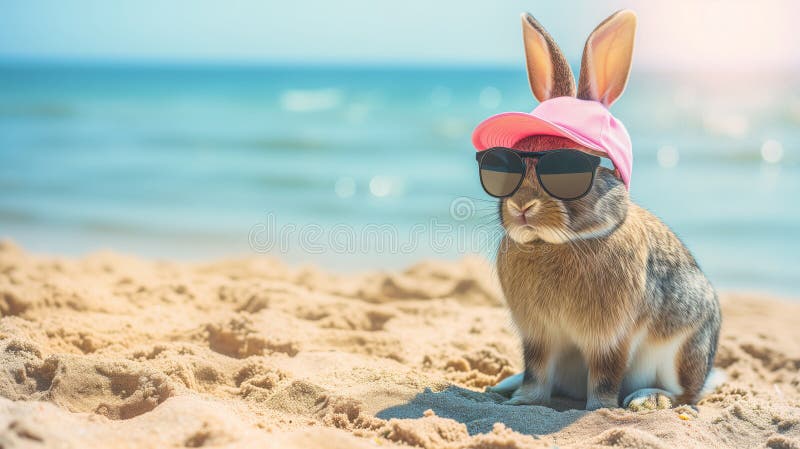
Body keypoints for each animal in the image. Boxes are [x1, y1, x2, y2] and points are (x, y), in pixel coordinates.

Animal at [485, 10, 722, 411]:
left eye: (570, 169)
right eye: (506, 167)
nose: (521, 206)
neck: (559, 243)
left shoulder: (611, 337)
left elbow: (606, 373)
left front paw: (600, 408)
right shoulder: (538, 336)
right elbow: (536, 371)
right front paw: (521, 402)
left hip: (682, 349)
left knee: (685, 394)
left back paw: (647, 400)